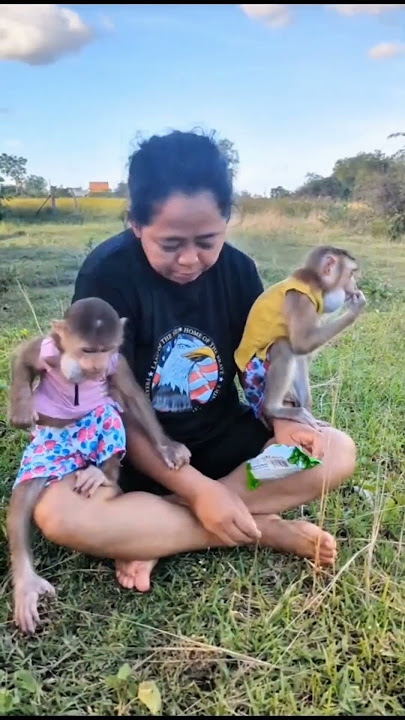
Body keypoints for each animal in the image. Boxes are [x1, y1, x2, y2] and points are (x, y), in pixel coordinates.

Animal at [7, 297, 191, 634]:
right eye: (88, 350)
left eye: (105, 350)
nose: (96, 366)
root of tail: (73, 456)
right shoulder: (48, 348)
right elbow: (24, 358)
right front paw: (22, 409)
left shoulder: (118, 363)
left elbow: (132, 396)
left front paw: (166, 447)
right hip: (44, 455)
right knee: (23, 497)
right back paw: (26, 583)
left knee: (107, 413)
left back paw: (101, 474)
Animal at [234, 246, 367, 430]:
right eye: (351, 274)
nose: (355, 286)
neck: (315, 283)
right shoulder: (301, 301)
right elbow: (301, 344)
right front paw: (355, 310)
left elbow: (302, 356)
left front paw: (308, 406)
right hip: (254, 376)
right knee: (284, 346)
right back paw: (273, 408)